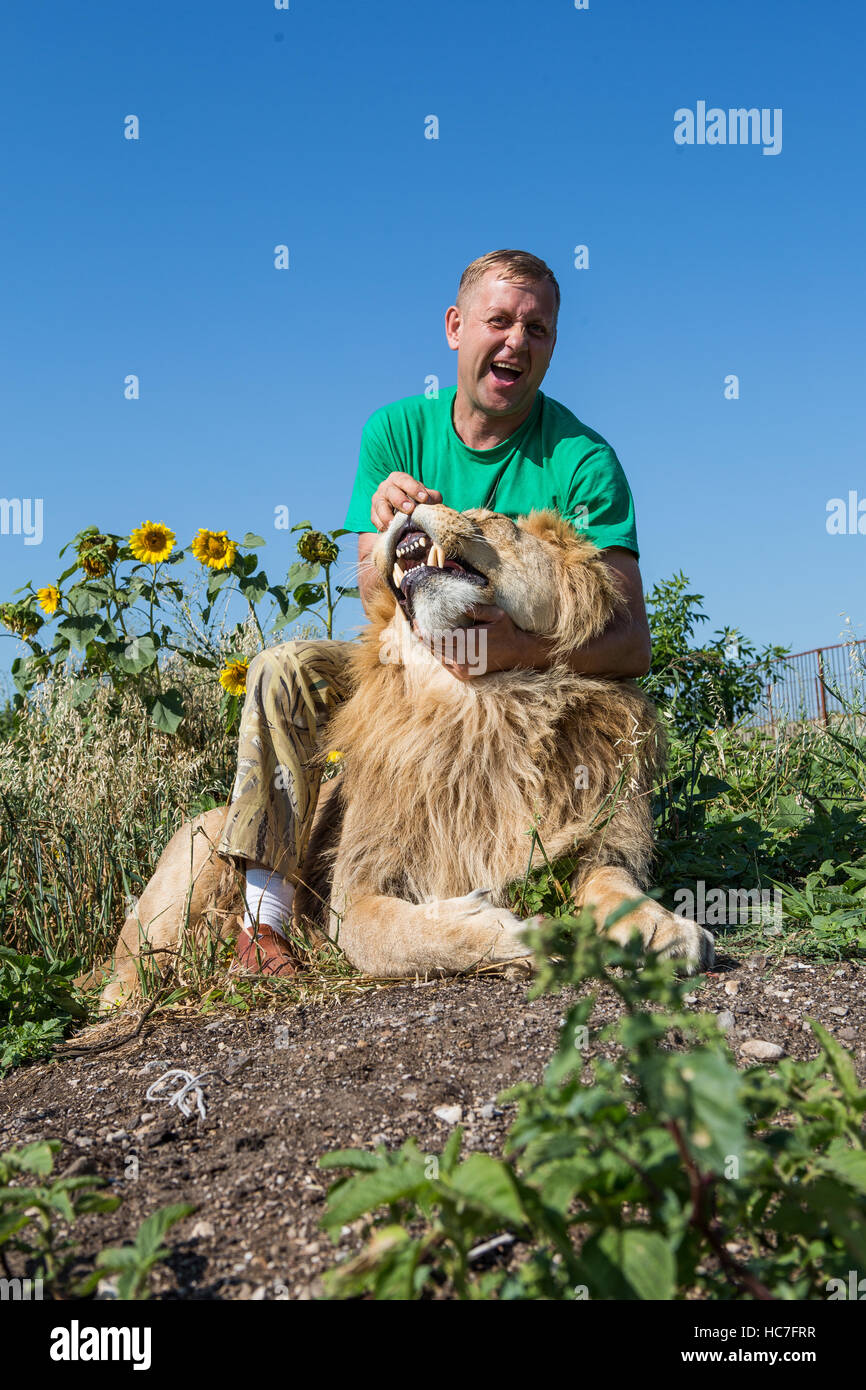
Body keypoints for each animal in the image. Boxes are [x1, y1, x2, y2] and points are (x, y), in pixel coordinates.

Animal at [95, 505, 713, 1010]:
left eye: (492, 519)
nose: (411, 504)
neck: (485, 707)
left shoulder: (597, 839)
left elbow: (614, 884)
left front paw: (663, 928)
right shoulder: (354, 894)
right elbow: (409, 936)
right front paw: (522, 934)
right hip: (191, 867)